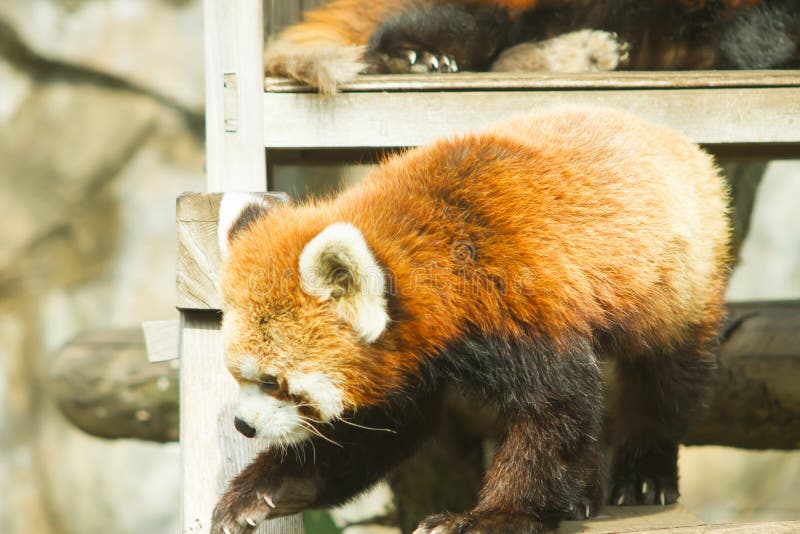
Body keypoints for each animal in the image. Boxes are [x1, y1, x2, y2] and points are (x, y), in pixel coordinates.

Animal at [210, 107, 730, 534]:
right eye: (238, 376)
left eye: (274, 382)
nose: (243, 426)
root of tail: (665, 134)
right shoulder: (410, 356)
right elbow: (377, 434)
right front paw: (268, 489)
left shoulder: (519, 300)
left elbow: (553, 407)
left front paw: (493, 516)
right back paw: (585, 494)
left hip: (679, 279)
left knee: (666, 378)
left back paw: (645, 475)